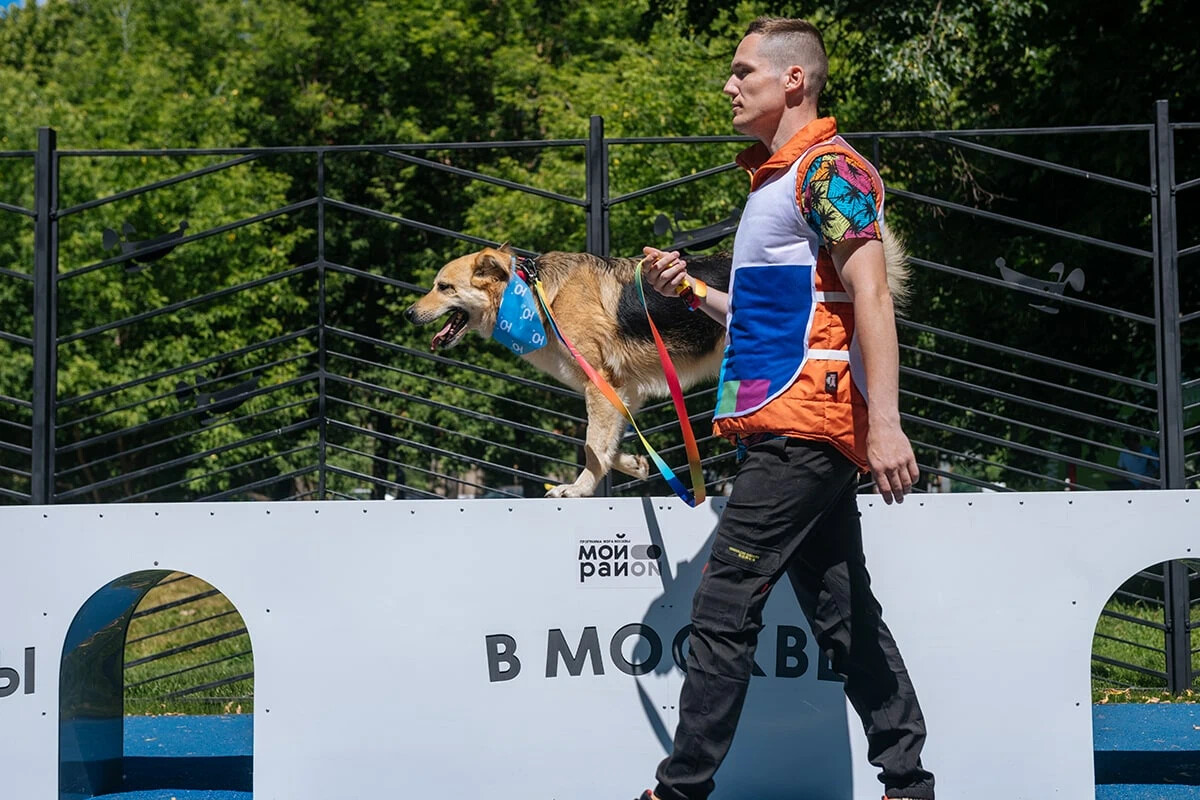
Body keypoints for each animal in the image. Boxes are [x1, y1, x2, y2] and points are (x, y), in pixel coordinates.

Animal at [405, 232, 907, 494]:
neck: (531, 293)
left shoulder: (600, 386)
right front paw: (635, 465)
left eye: (443, 287)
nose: (409, 313)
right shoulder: (623, 390)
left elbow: (591, 446)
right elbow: (607, 446)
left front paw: (579, 489)